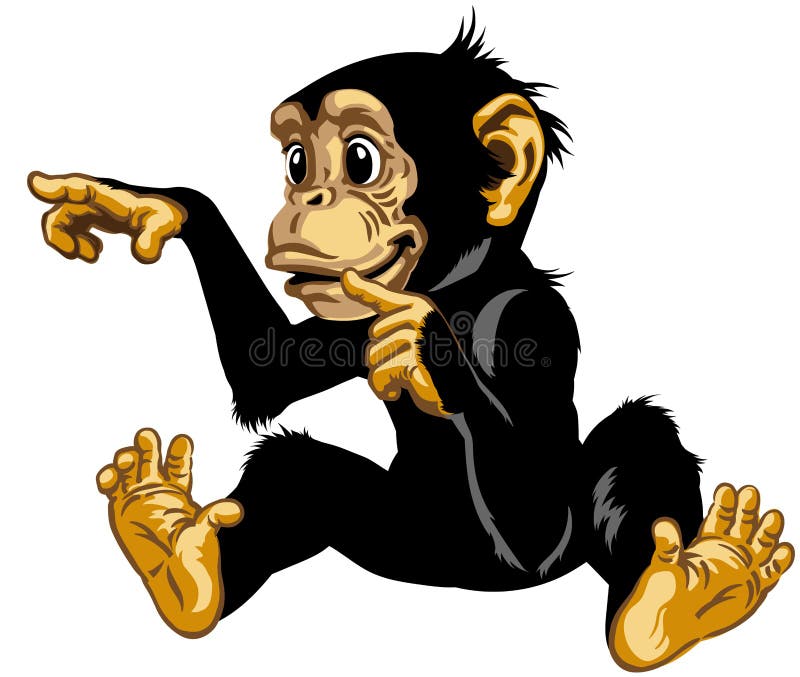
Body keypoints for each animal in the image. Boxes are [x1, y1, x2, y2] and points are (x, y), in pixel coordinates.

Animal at [28, 19, 793, 671]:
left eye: (360, 160)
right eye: (297, 162)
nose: (303, 198)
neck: (459, 286)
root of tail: (458, 583)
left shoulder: (530, 320)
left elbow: (535, 502)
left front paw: (425, 347)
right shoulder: (350, 320)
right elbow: (266, 368)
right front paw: (152, 205)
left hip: (541, 561)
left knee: (639, 434)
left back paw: (679, 598)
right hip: (394, 530)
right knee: (295, 468)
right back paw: (178, 559)